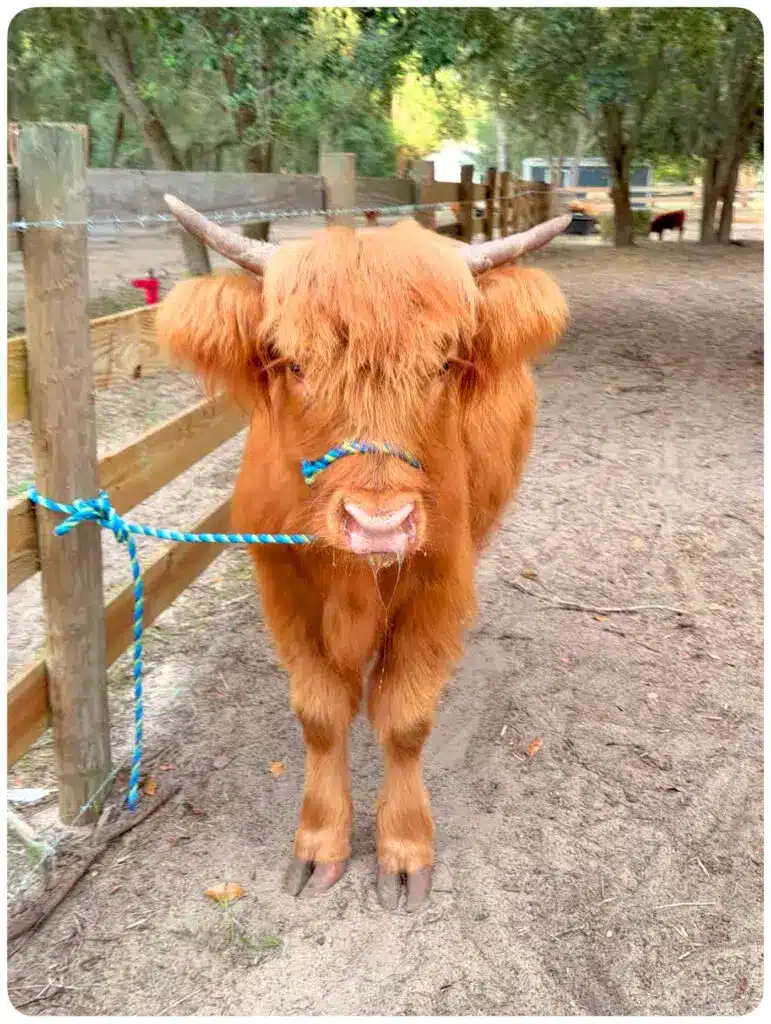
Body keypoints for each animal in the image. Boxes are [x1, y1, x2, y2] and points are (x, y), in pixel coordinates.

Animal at [156, 198, 570, 911]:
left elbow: (404, 718)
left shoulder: (439, 581)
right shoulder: (284, 588)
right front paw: (320, 842)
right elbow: (321, 715)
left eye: (444, 363)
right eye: (294, 364)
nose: (380, 524)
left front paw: (403, 849)